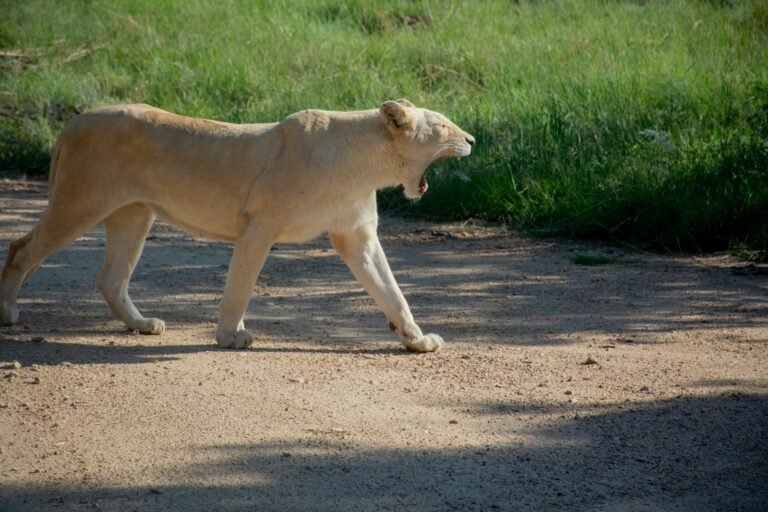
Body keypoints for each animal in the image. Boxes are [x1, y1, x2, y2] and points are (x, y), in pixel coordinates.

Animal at [0, 99, 474, 352]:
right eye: (444, 125)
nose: (471, 139)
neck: (366, 164)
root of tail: (74, 121)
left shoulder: (356, 236)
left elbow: (392, 293)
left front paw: (417, 341)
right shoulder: (258, 226)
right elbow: (240, 285)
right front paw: (230, 336)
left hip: (133, 213)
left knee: (111, 278)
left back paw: (142, 324)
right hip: (80, 202)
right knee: (21, 249)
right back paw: (7, 312)